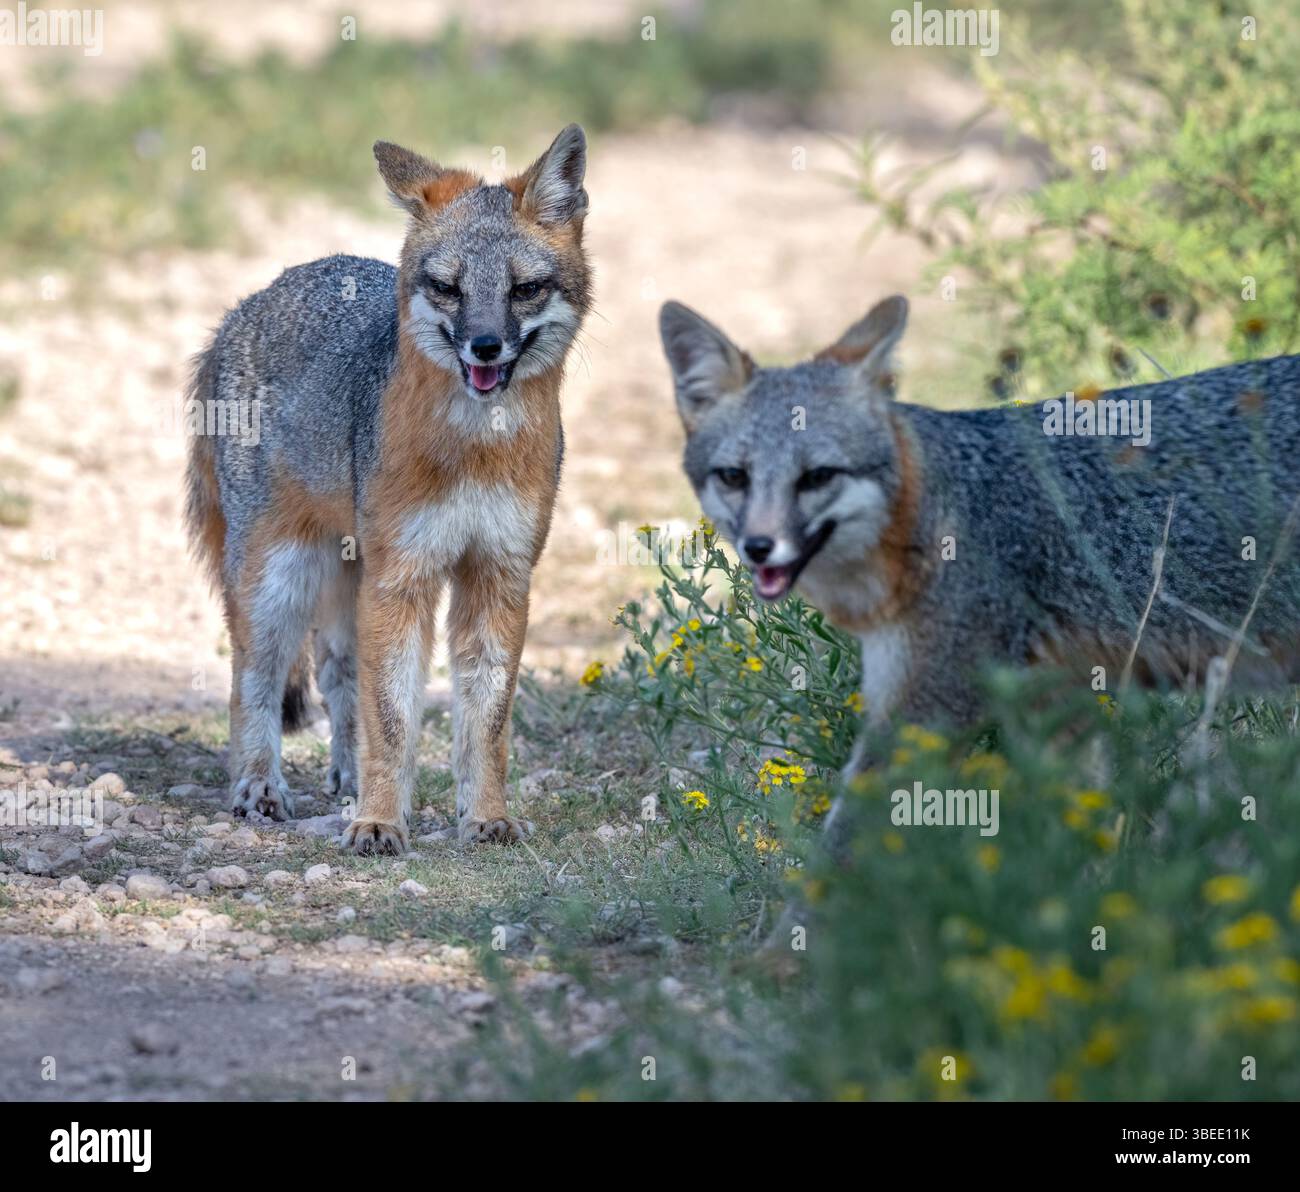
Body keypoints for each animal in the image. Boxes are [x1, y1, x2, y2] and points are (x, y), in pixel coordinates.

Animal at [184, 125, 591, 854]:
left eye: (524, 289)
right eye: (448, 287)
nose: (485, 347)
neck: (475, 453)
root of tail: (241, 308)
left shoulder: (500, 574)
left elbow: (483, 724)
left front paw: (486, 815)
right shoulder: (403, 576)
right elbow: (394, 719)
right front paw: (378, 822)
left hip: (349, 579)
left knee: (340, 679)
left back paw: (345, 778)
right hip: (279, 580)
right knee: (253, 680)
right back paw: (260, 786)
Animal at [661, 294, 1300, 771]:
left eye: (817, 476)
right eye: (735, 477)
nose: (759, 547)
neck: (928, 515)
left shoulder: (929, 704)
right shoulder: (1054, 701)